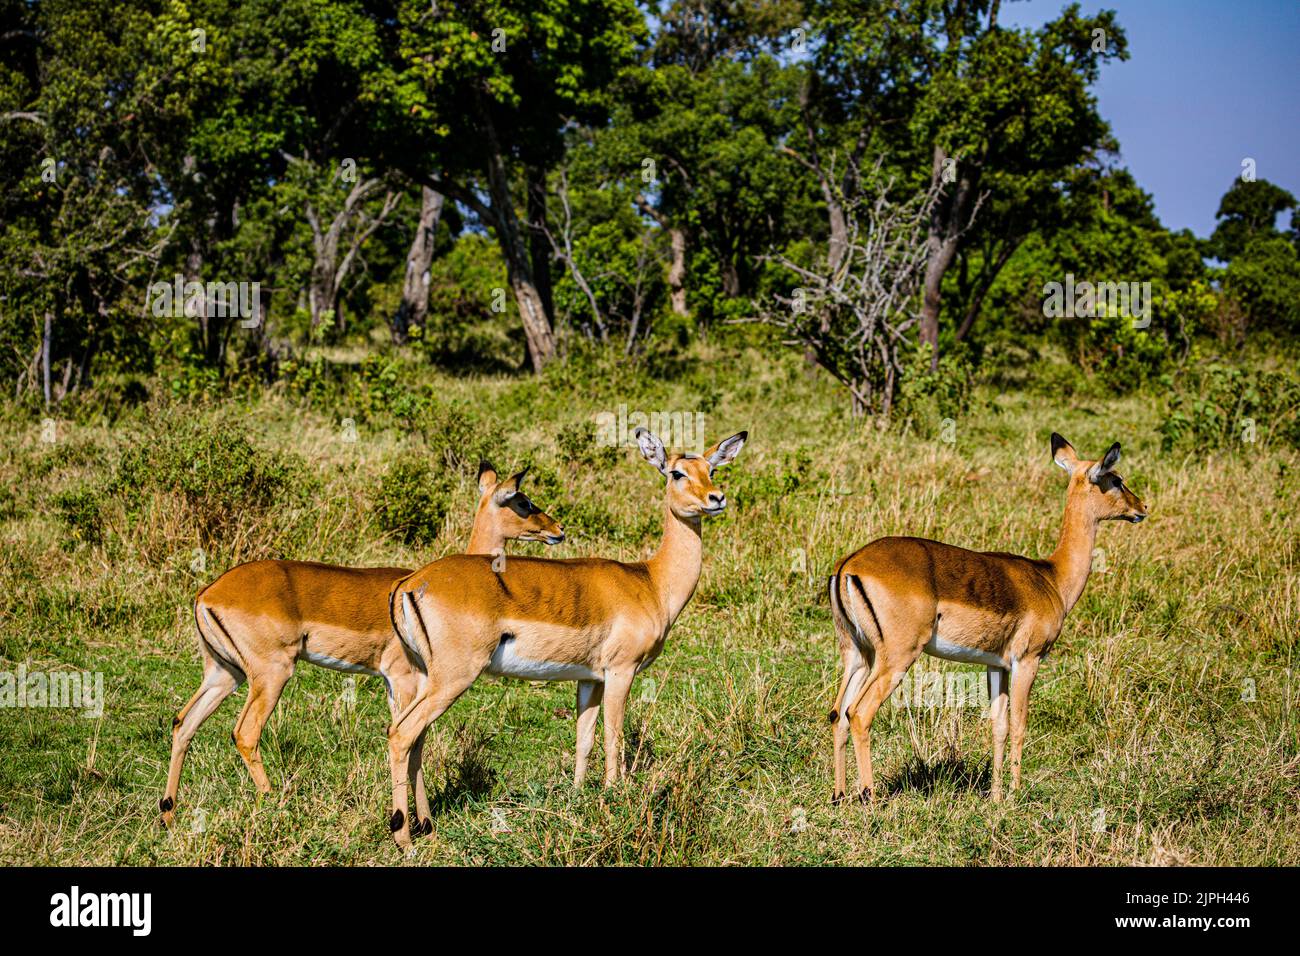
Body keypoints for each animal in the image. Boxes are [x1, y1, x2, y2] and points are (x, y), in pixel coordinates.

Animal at [160, 462, 562, 836]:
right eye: (523, 501)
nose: (558, 530)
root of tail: (206, 593)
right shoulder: (404, 679)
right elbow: (411, 741)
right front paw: (420, 826)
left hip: (225, 673)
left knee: (183, 723)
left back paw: (168, 816)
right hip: (271, 673)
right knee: (245, 733)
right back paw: (277, 807)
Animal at [383, 427, 747, 848]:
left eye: (711, 469)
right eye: (676, 473)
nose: (715, 498)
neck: (651, 582)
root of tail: (410, 583)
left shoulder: (589, 679)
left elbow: (583, 738)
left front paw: (576, 797)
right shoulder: (621, 672)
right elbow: (613, 737)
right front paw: (613, 796)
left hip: (426, 678)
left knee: (414, 738)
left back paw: (427, 826)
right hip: (454, 677)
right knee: (401, 734)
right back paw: (404, 838)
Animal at [827, 433, 1147, 803]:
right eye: (1116, 479)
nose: (1142, 508)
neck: (1051, 577)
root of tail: (850, 565)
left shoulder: (996, 666)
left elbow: (998, 725)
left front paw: (995, 796)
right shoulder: (1027, 661)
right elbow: (1019, 724)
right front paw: (1015, 794)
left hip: (858, 655)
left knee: (838, 714)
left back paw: (839, 796)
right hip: (896, 657)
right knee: (859, 714)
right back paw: (869, 798)